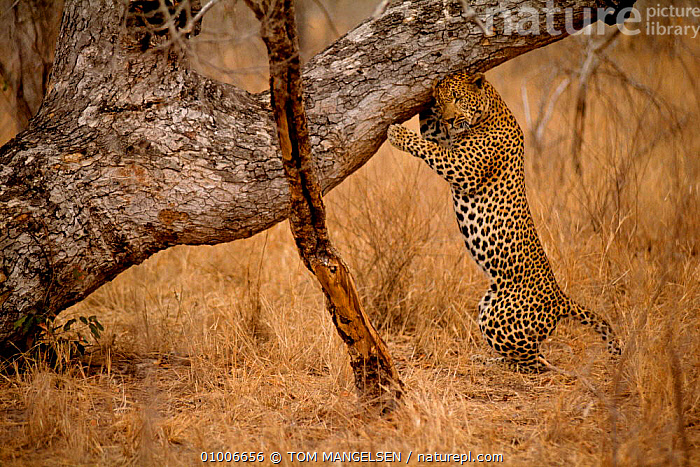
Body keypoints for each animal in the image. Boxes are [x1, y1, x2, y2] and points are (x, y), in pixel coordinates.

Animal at [386, 71, 622, 372]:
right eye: (441, 102)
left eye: (458, 98)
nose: (448, 118)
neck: (492, 109)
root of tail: (560, 298)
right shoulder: (447, 141)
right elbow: (430, 132)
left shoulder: (462, 167)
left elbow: (426, 147)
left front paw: (398, 134)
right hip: (488, 303)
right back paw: (489, 359)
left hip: (499, 316)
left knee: (535, 362)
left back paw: (504, 365)